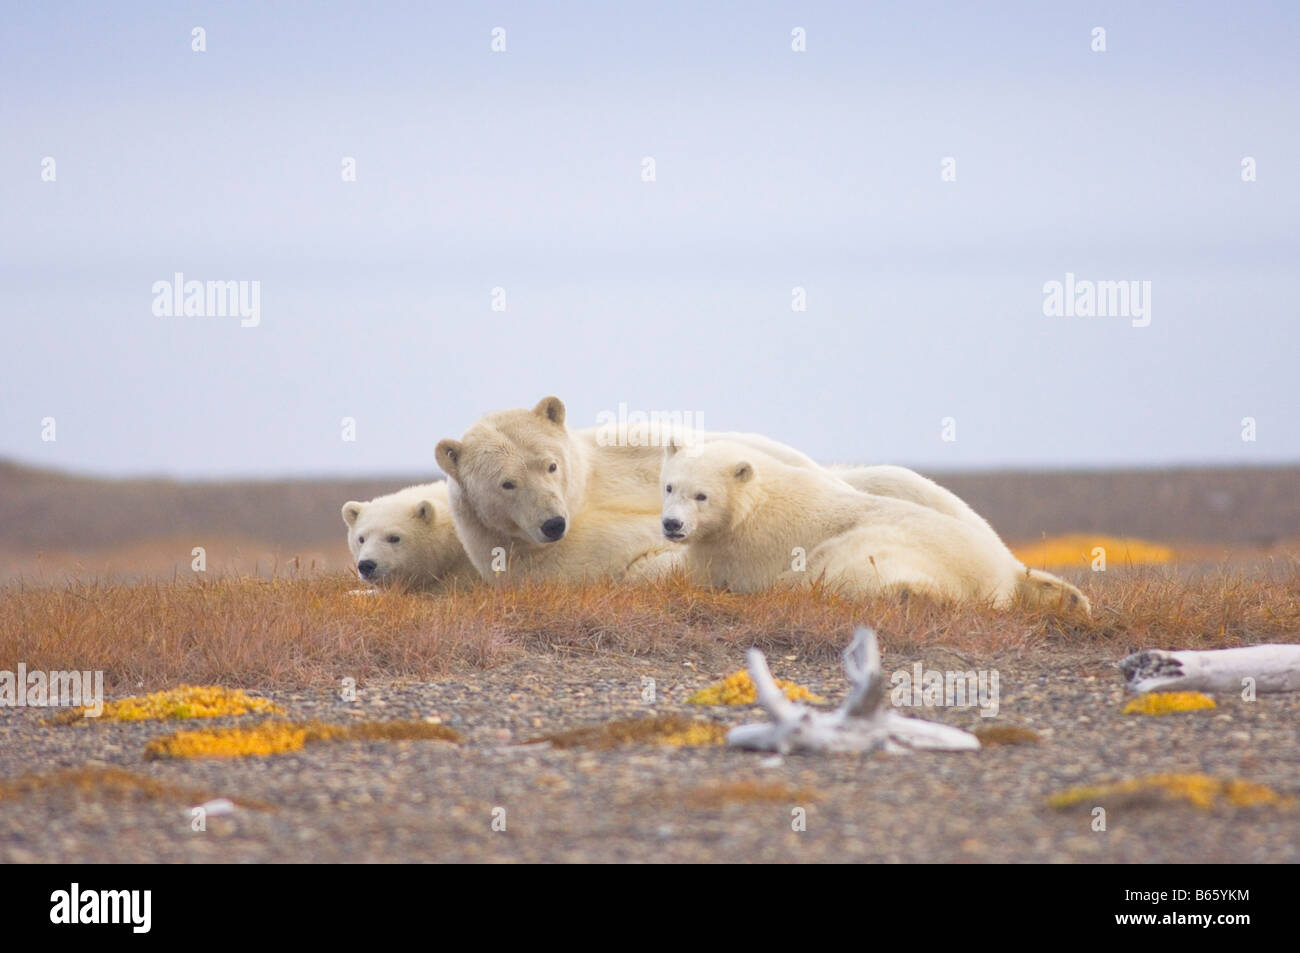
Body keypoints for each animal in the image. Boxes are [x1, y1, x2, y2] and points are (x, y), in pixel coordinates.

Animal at [660, 440, 1090, 615]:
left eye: (701, 495)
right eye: (669, 486)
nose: (671, 524)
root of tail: (996, 573)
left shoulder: (742, 549)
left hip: (882, 543)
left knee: (861, 569)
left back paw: (912, 596)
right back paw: (1068, 598)